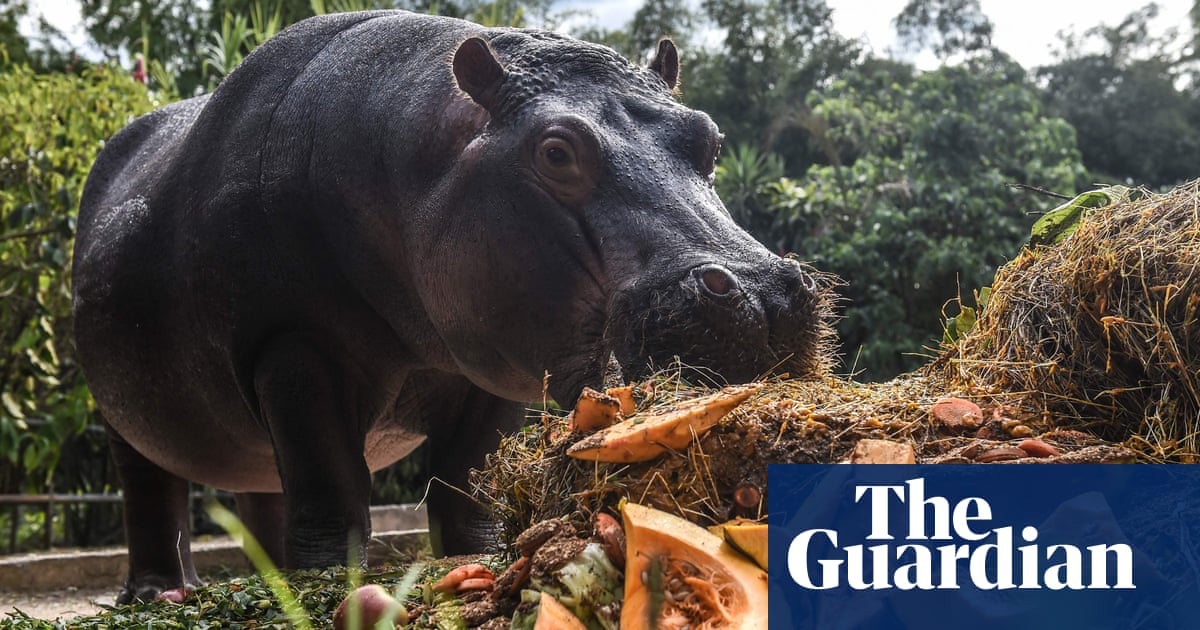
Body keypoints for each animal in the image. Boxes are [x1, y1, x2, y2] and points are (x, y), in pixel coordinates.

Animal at [72, 10, 832, 603]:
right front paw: (329, 582)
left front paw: (480, 556)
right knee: (153, 490)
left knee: (261, 485)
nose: (762, 293)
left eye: (709, 137)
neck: (416, 153)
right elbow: (331, 480)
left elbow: (466, 475)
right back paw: (159, 593)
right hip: (123, 413)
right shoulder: (291, 345)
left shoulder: (492, 360)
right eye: (555, 151)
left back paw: (269, 579)